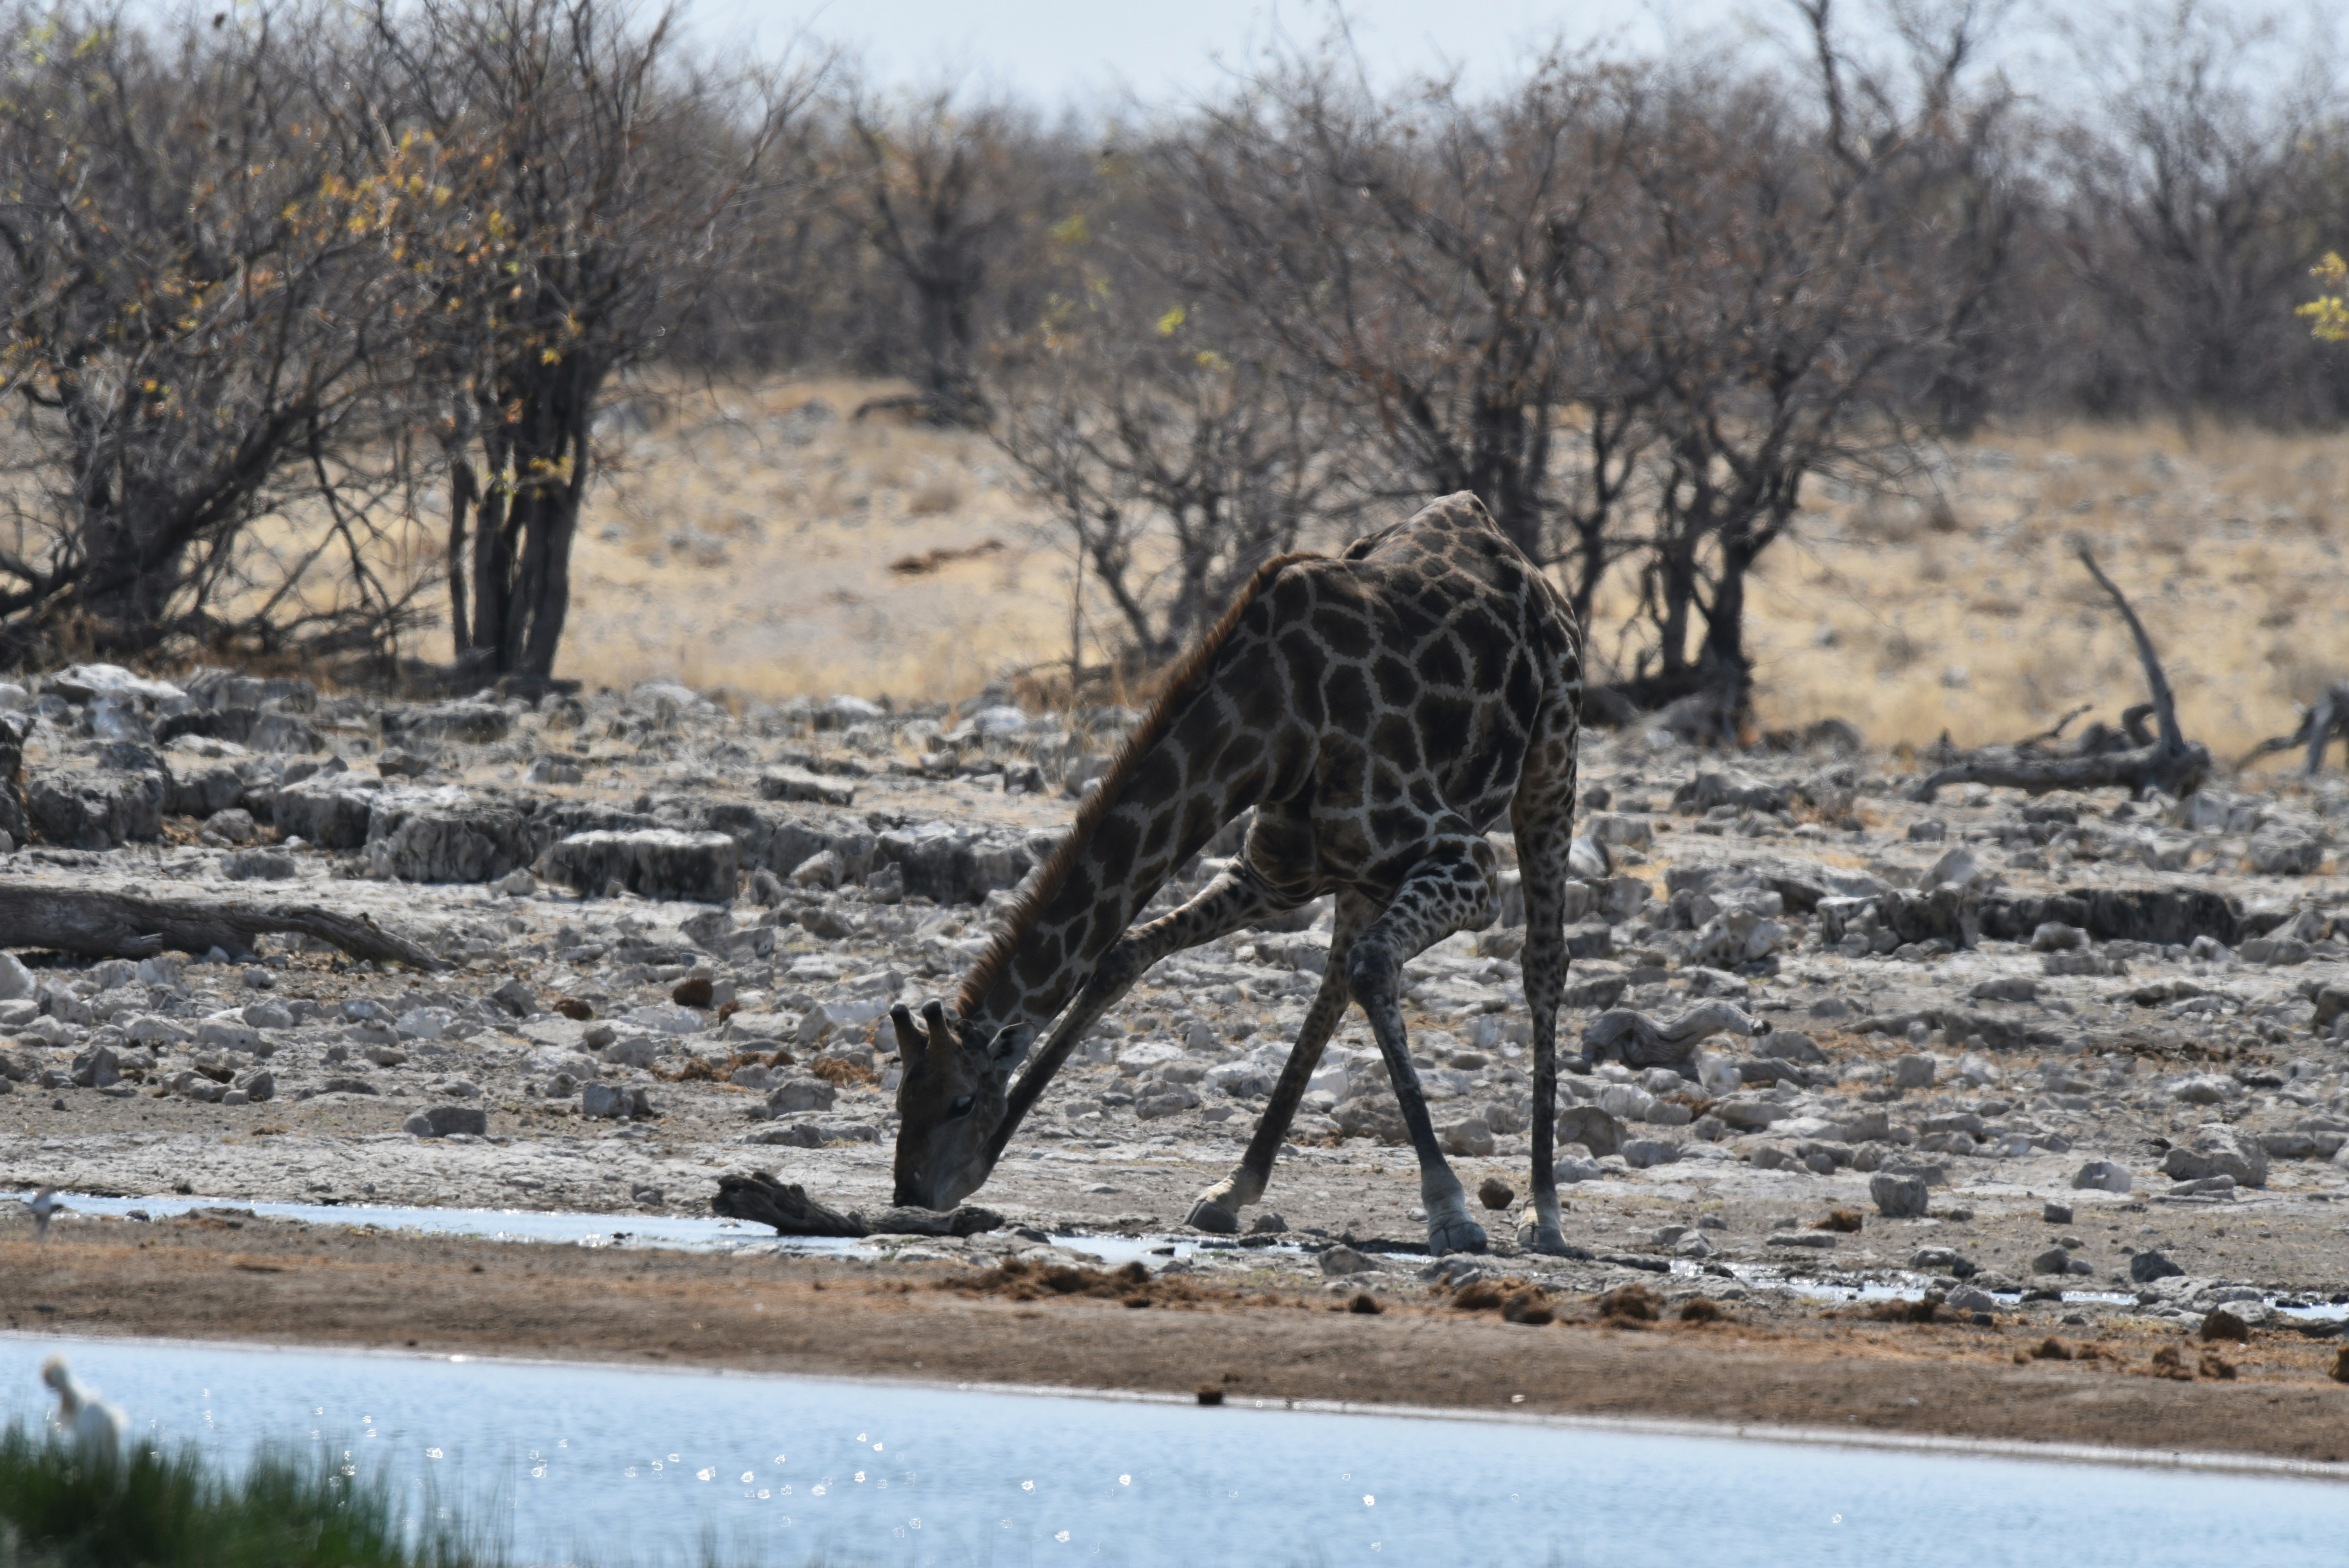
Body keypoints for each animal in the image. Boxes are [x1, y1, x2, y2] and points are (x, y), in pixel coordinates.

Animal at [889, 492, 1582, 1257]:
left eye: (960, 1101)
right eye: (901, 1096)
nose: (910, 1191)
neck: (1275, 728)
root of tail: (1486, 522)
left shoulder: (1468, 861)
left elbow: (1378, 965)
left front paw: (1451, 1209)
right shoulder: (1273, 873)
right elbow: (1123, 955)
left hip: (1553, 753)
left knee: (1539, 961)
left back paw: (1545, 1212)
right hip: (1355, 877)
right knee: (1338, 976)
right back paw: (1235, 1188)